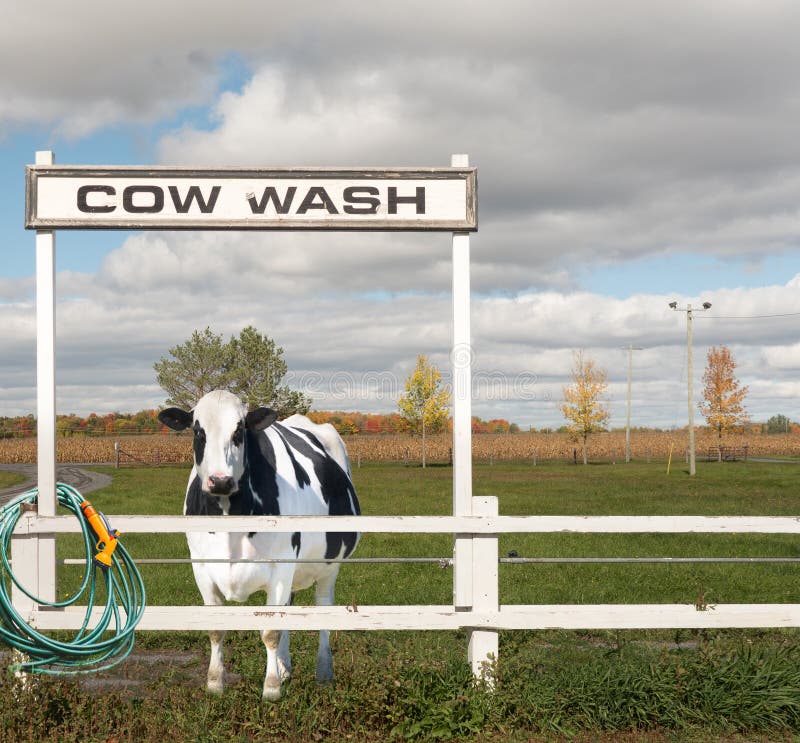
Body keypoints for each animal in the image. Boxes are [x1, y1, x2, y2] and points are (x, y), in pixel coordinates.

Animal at [157, 389, 360, 700]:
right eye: (198, 430)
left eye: (239, 429)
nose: (220, 480)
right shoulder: (201, 567)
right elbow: (216, 629)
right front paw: (215, 683)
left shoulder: (281, 567)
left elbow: (271, 631)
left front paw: (272, 688)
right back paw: (286, 669)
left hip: (329, 564)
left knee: (323, 606)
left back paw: (324, 673)